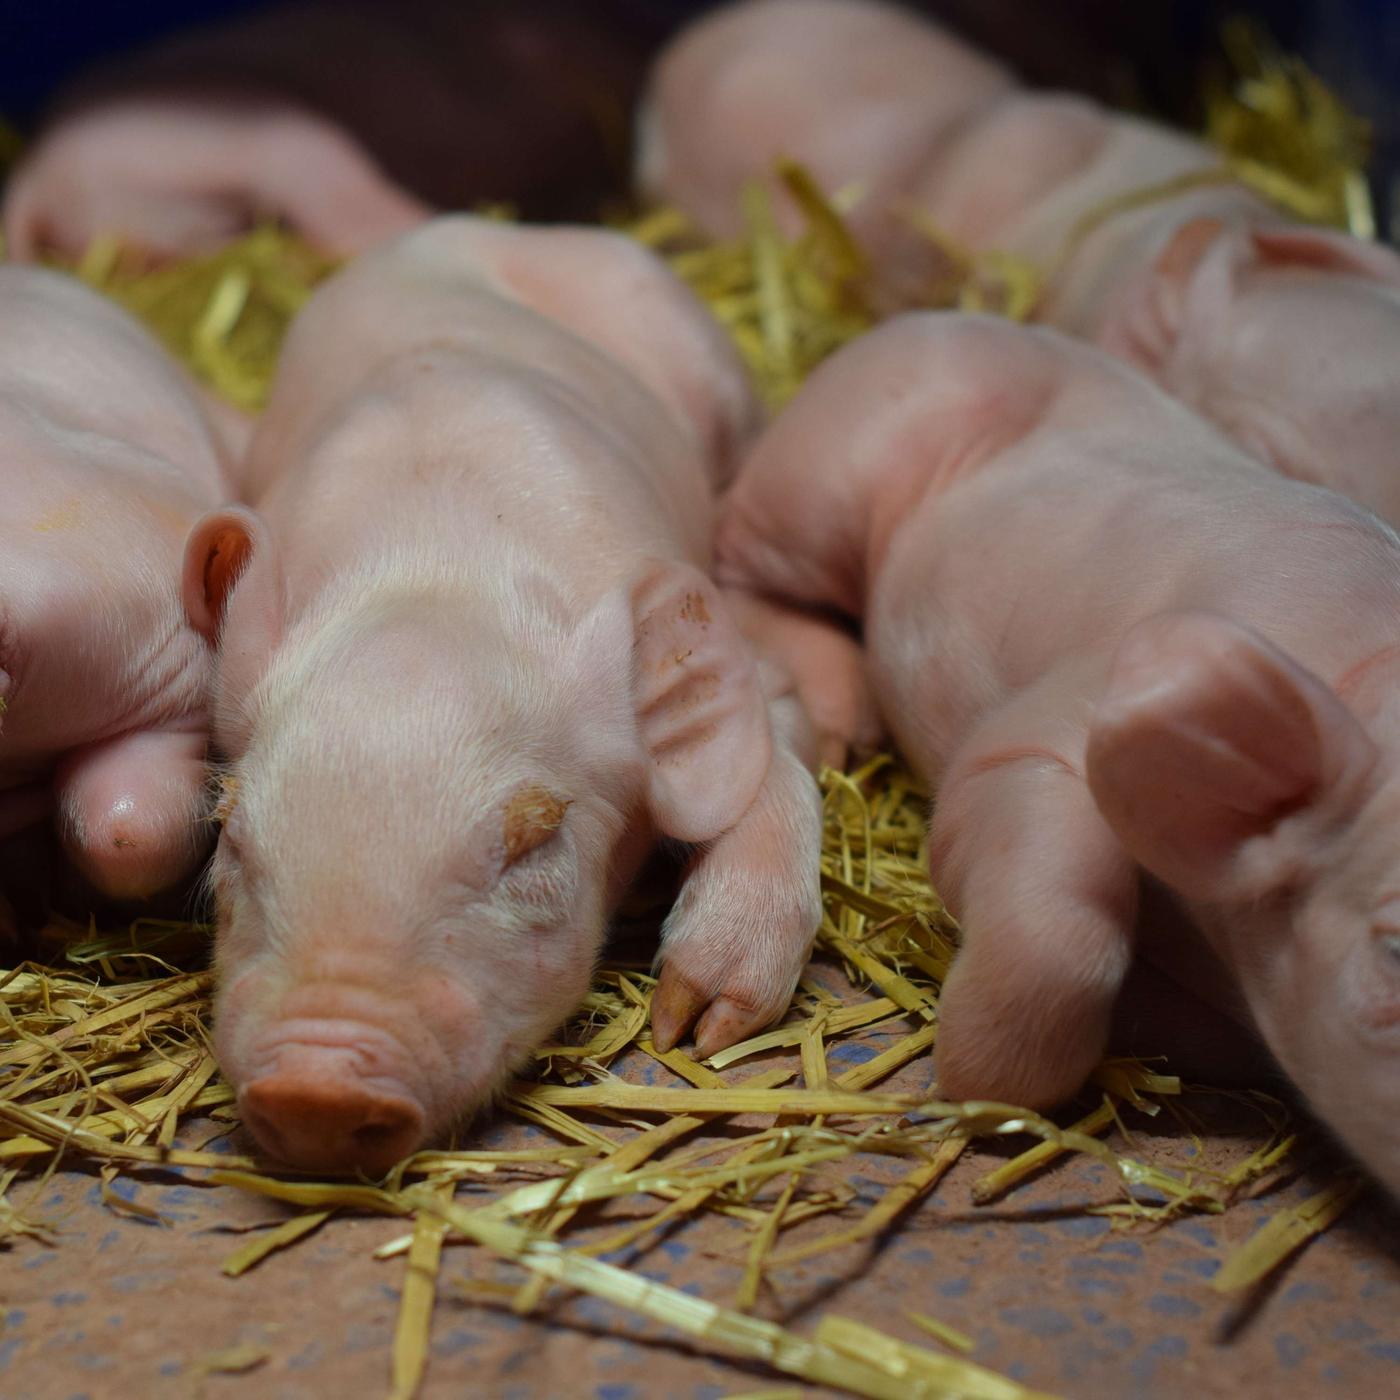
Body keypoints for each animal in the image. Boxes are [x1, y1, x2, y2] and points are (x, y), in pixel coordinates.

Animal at [182, 215, 823, 1176]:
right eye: (230, 836)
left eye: (535, 843)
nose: (312, 1089)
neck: (442, 564)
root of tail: (466, 224)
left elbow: (773, 757)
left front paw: (694, 1029)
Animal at [718, 311, 1400, 1200]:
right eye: (1395, 946)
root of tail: (927, 321)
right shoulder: (1046, 720)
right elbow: (1056, 907)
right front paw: (976, 1093)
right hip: (815, 482)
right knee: (736, 550)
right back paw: (844, 724)